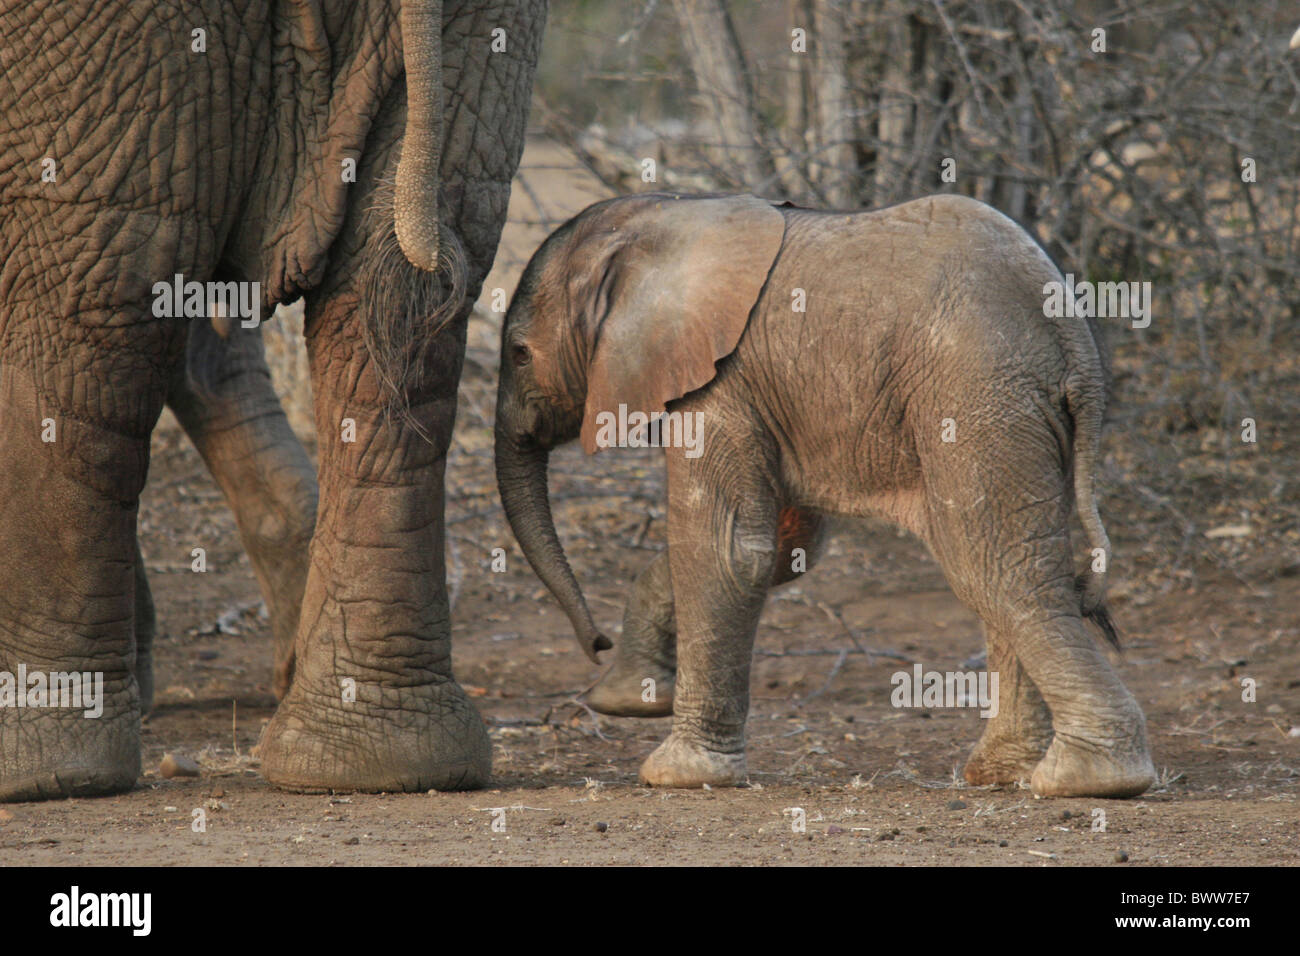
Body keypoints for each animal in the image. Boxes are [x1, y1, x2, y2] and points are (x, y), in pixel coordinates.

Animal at [494, 191, 1157, 798]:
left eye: (519, 353)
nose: (596, 643)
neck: (666, 215)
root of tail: (1072, 335)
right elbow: (785, 549)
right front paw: (626, 696)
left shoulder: (720, 383)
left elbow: (726, 550)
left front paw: (675, 774)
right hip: (1015, 410)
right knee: (1005, 570)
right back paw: (1000, 775)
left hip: (975, 399)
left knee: (998, 567)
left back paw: (1089, 780)